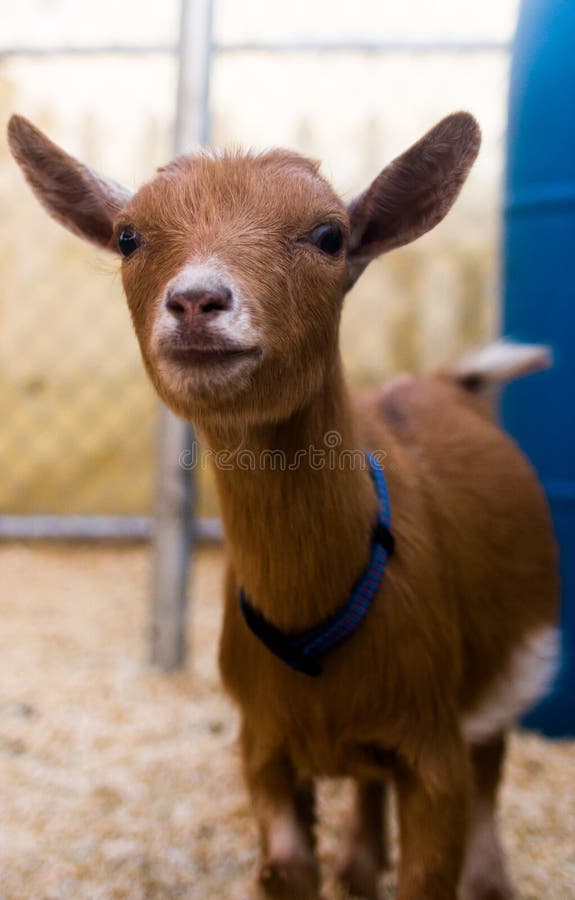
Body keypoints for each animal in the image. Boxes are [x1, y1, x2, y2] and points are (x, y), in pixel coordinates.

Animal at [8, 112, 559, 900]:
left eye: (329, 235)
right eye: (127, 236)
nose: (196, 301)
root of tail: (446, 382)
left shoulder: (434, 747)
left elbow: (432, 861)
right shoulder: (262, 745)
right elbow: (289, 866)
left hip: (505, 675)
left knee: (490, 768)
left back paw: (489, 881)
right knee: (368, 786)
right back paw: (360, 866)